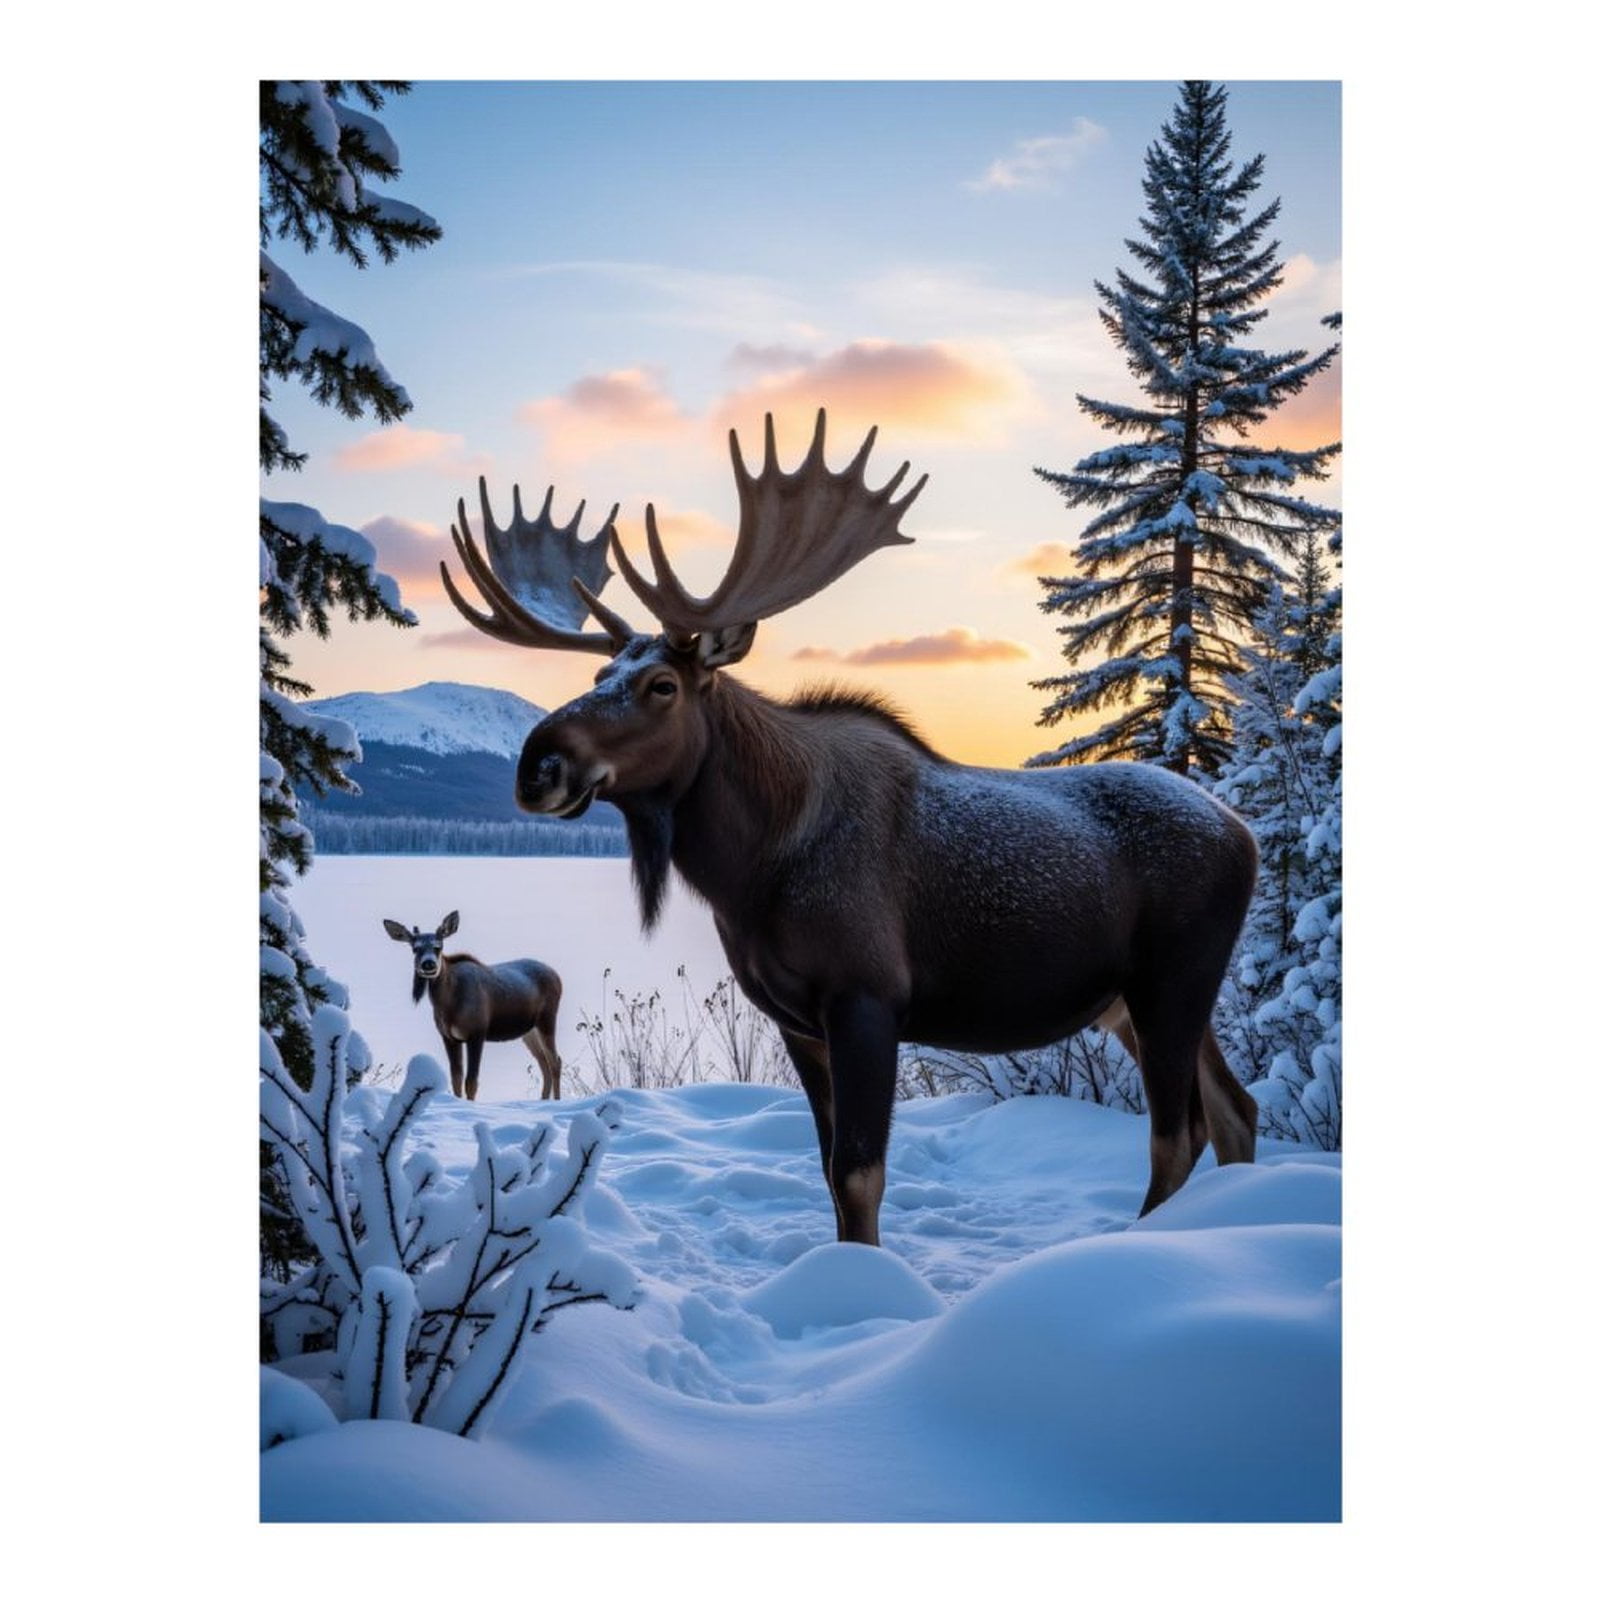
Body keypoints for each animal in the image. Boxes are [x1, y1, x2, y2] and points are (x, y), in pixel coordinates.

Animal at [382, 911, 564, 1101]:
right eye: (415, 948)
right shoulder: (449, 1037)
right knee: (544, 1063)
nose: (429, 964)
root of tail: (557, 977)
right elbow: (456, 1078)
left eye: (439, 947)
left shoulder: (477, 1033)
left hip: (547, 1019)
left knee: (555, 1061)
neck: (447, 1005)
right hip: (529, 1031)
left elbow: (471, 1082)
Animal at [440, 410, 1260, 1243]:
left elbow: (858, 1175)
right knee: (1236, 1109)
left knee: (1177, 1133)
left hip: (1172, 978)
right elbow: (830, 1176)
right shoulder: (796, 1020)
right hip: (1134, 1000)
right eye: (598, 676)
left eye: (662, 685)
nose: (537, 764)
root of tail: (1243, 833)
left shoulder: (867, 995)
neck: (752, 872)